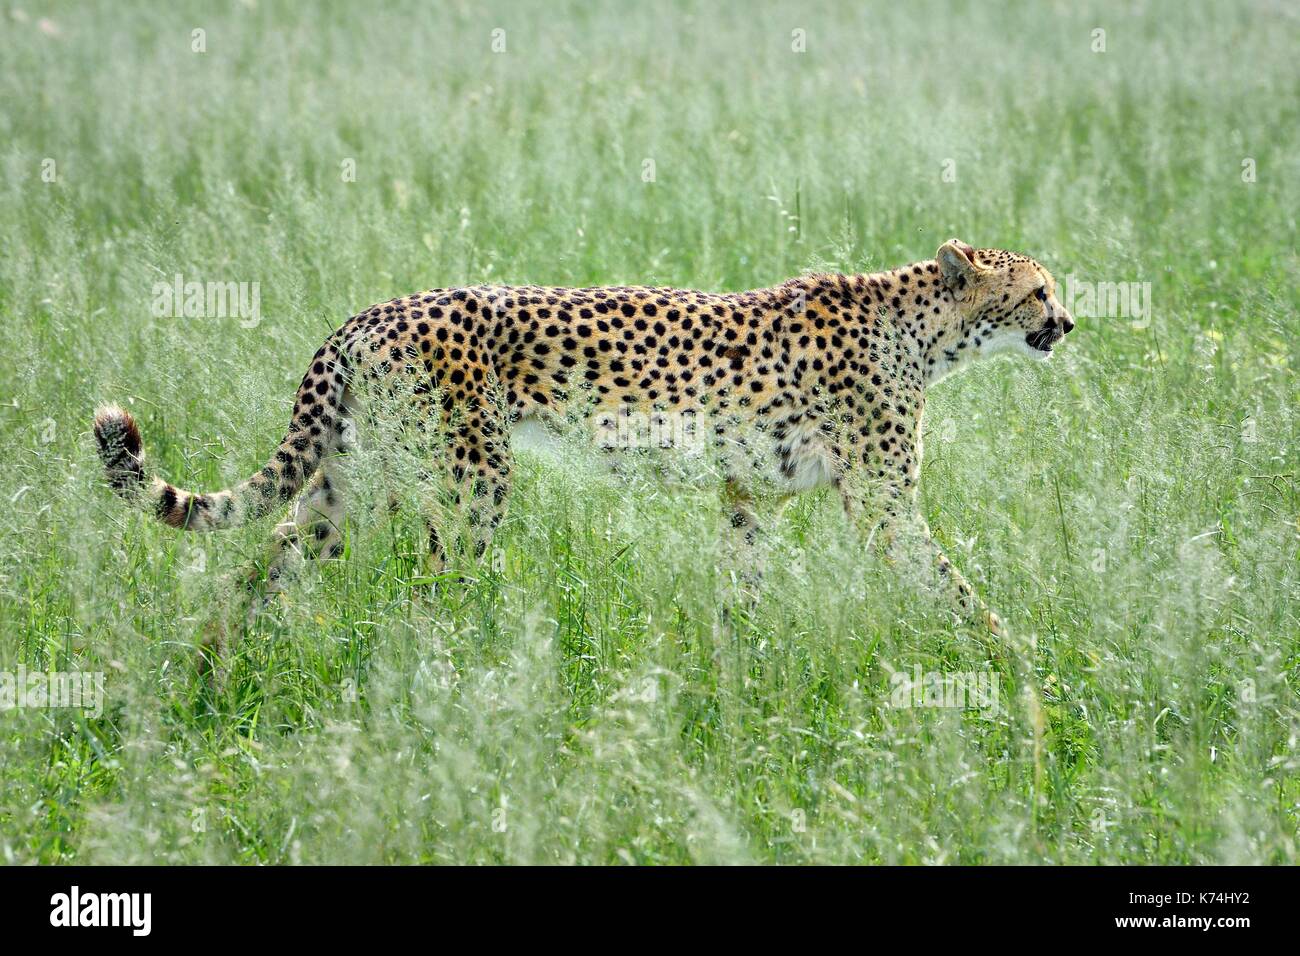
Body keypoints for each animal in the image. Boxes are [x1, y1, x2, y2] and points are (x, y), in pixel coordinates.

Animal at [94, 239, 1074, 638]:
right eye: (1036, 291)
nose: (1067, 322)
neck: (926, 327)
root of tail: (368, 313)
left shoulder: (745, 494)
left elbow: (743, 588)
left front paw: (732, 675)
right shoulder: (880, 506)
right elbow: (954, 586)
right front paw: (1016, 662)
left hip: (357, 482)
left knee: (273, 553)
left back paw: (209, 667)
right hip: (472, 484)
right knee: (427, 593)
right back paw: (446, 685)